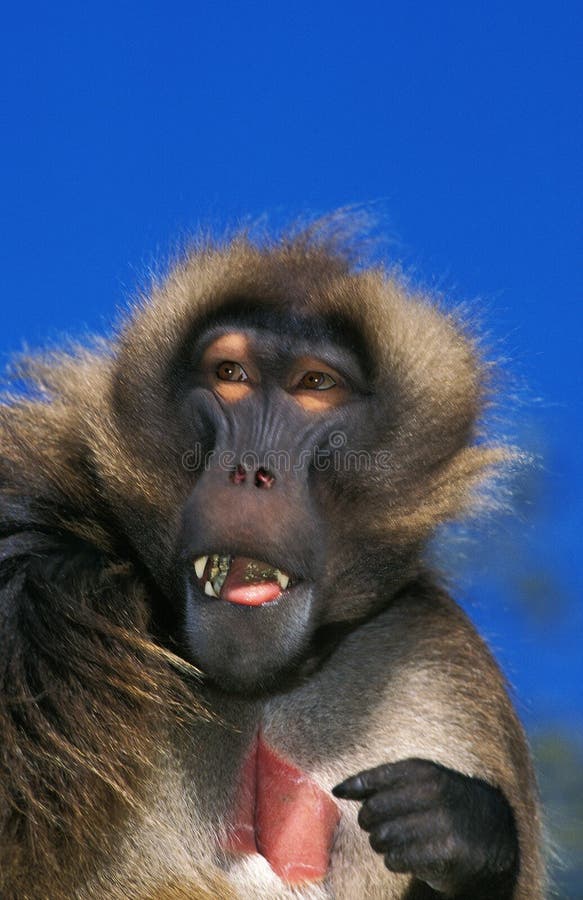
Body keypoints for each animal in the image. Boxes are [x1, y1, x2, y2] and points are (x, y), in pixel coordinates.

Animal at [0, 219, 545, 899]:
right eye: (230, 372)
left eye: (316, 385)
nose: (250, 471)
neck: (256, 687)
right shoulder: (32, 581)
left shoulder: (427, 657)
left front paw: (462, 834)